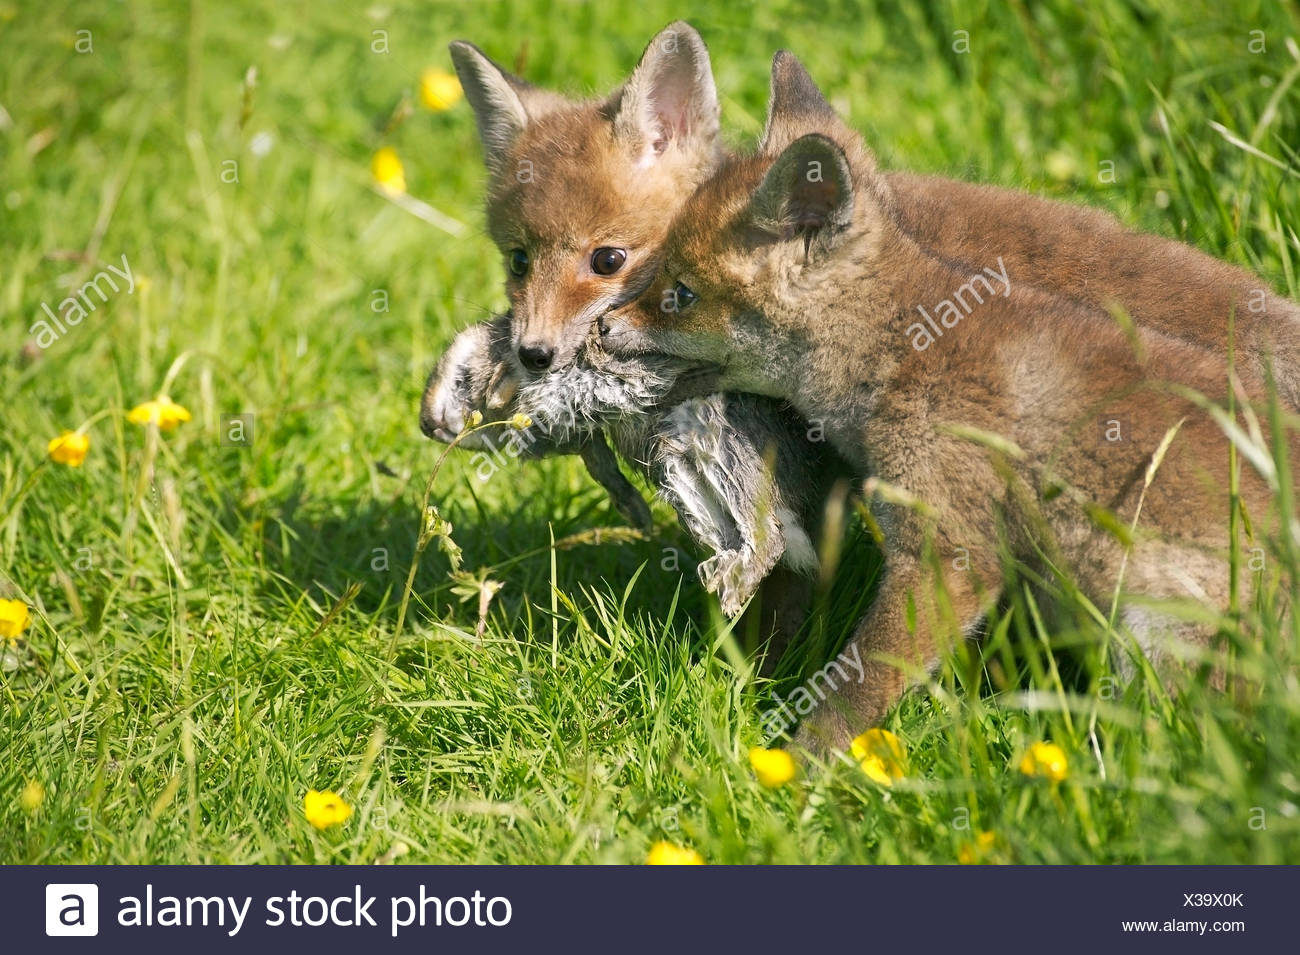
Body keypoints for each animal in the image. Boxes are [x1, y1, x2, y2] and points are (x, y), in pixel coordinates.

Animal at [599, 69, 1300, 752]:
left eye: (680, 294)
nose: (601, 327)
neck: (901, 349)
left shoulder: (949, 552)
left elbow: (851, 693)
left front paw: (798, 767)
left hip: (1164, 635)